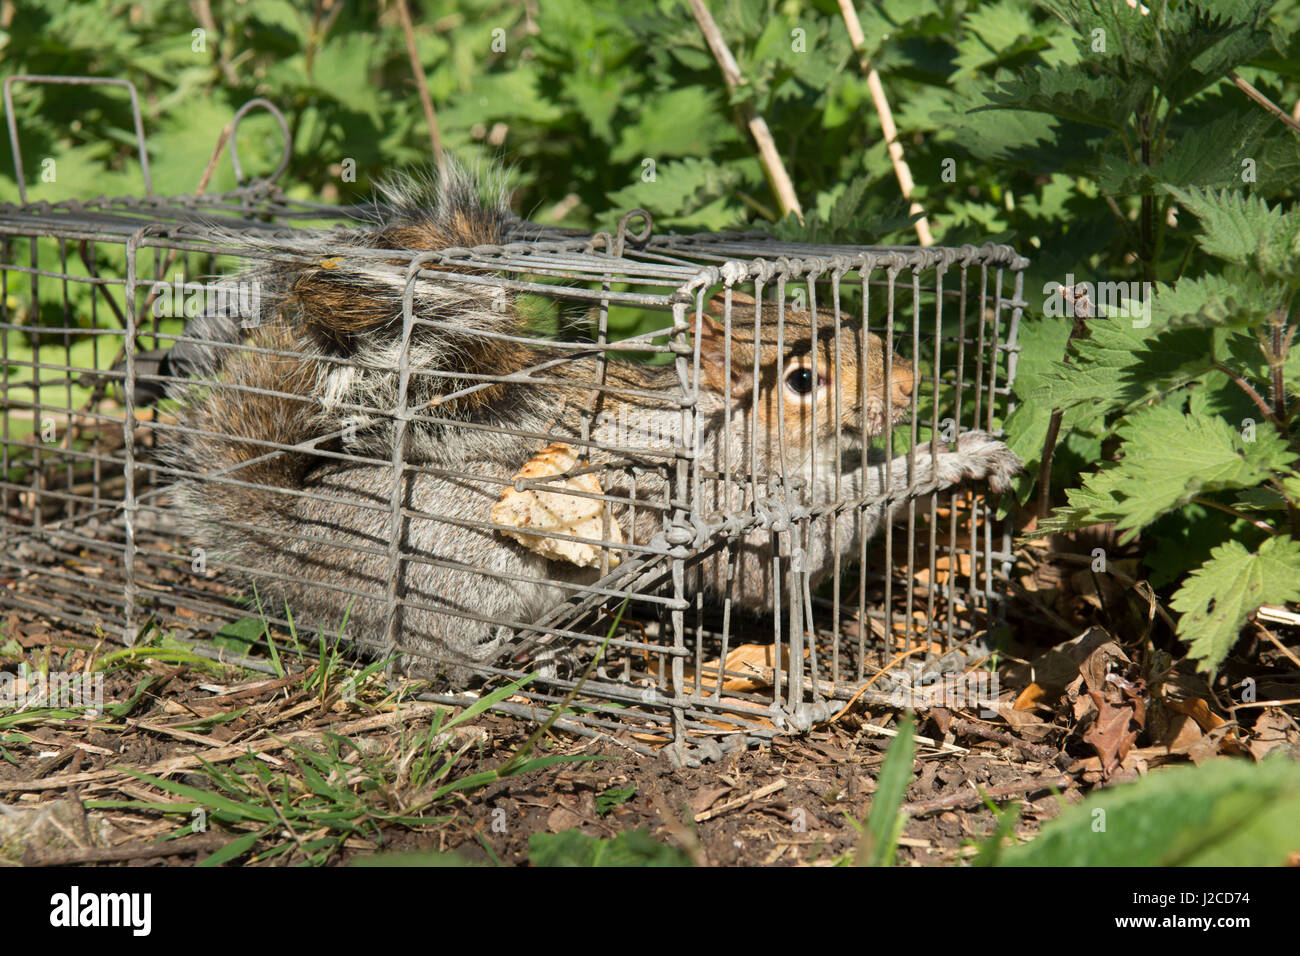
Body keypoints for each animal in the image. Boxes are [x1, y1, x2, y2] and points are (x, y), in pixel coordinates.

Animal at [161, 160, 1023, 685]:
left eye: (852, 322)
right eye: (804, 380)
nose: (911, 385)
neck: (725, 430)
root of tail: (287, 546)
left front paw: (959, 441)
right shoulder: (732, 512)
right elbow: (822, 533)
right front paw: (945, 458)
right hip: (455, 582)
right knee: (420, 657)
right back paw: (502, 658)